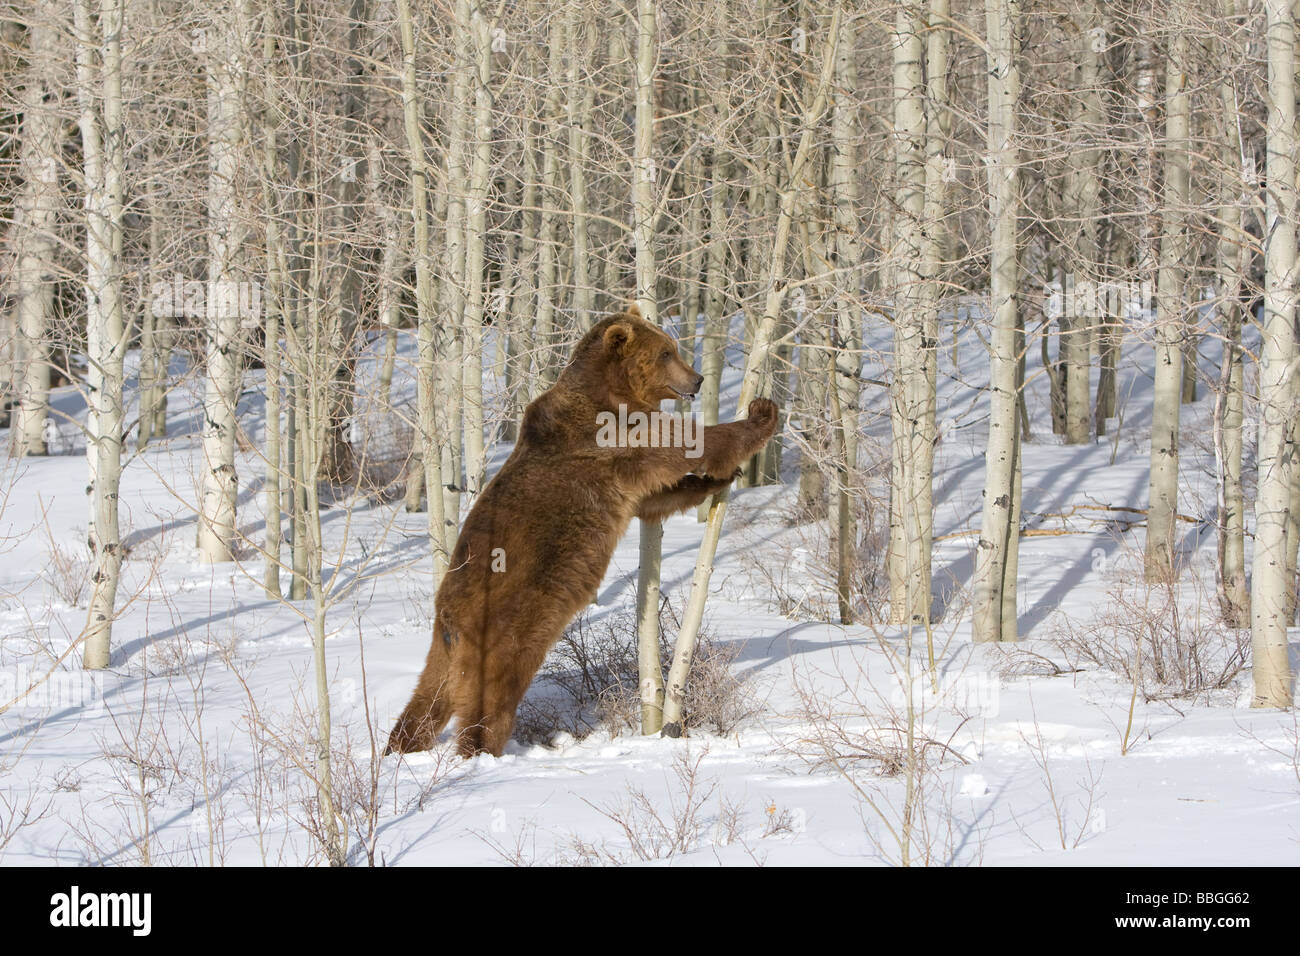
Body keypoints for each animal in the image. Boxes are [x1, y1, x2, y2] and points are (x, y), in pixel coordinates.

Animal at [385, 304, 779, 758]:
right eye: (666, 352)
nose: (695, 378)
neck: (612, 394)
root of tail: (447, 615)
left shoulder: (623, 475)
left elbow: (656, 498)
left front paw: (716, 479)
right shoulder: (608, 439)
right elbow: (677, 444)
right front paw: (759, 415)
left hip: (447, 651)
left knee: (427, 698)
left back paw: (399, 746)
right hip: (502, 630)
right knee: (492, 696)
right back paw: (480, 750)